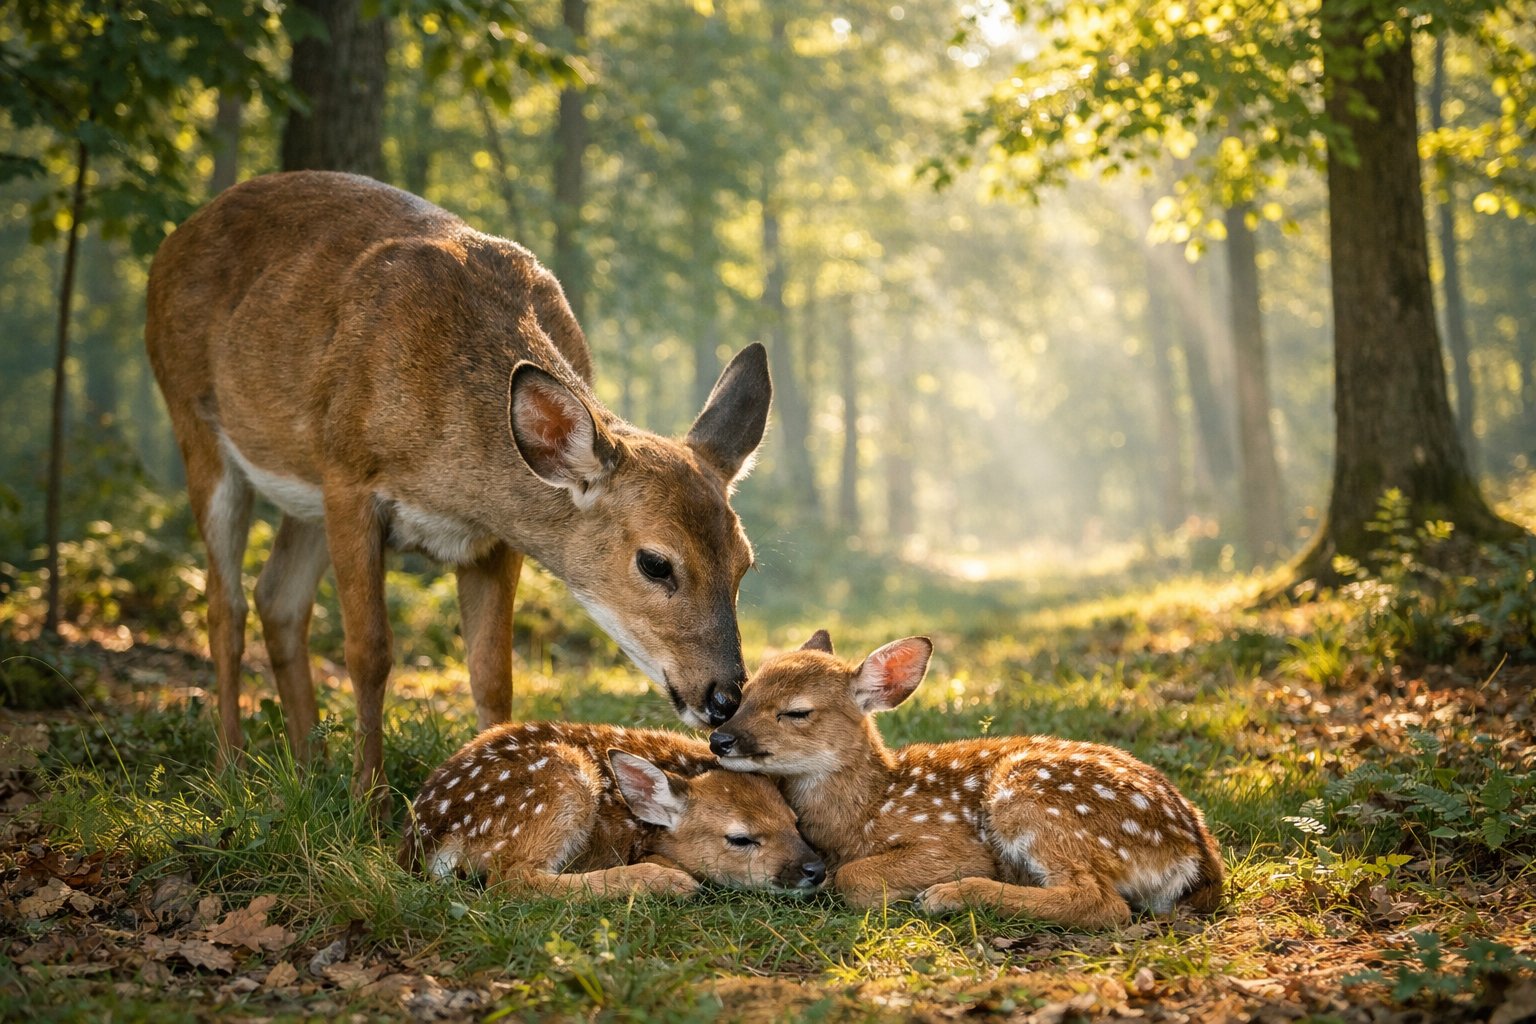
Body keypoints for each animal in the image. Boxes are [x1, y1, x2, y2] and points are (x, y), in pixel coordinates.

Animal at [145, 171, 771, 810]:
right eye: (655, 563)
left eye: (744, 564)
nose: (724, 697)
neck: (453, 471)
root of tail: (175, 240)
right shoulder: (348, 477)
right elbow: (369, 652)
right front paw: (368, 803)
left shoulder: (497, 534)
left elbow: (492, 672)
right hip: (194, 417)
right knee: (226, 605)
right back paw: (230, 772)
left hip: (303, 488)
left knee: (278, 599)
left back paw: (309, 767)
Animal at [399, 721, 826, 896]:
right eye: (740, 838)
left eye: (795, 821)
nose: (815, 869)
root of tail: (424, 839)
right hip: (559, 783)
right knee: (513, 880)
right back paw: (665, 881)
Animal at [708, 631, 1225, 928]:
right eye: (743, 696)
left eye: (796, 711)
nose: (720, 739)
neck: (869, 808)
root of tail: (1193, 853)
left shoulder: (952, 844)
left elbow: (853, 877)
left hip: (1031, 798)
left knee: (1101, 904)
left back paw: (950, 896)